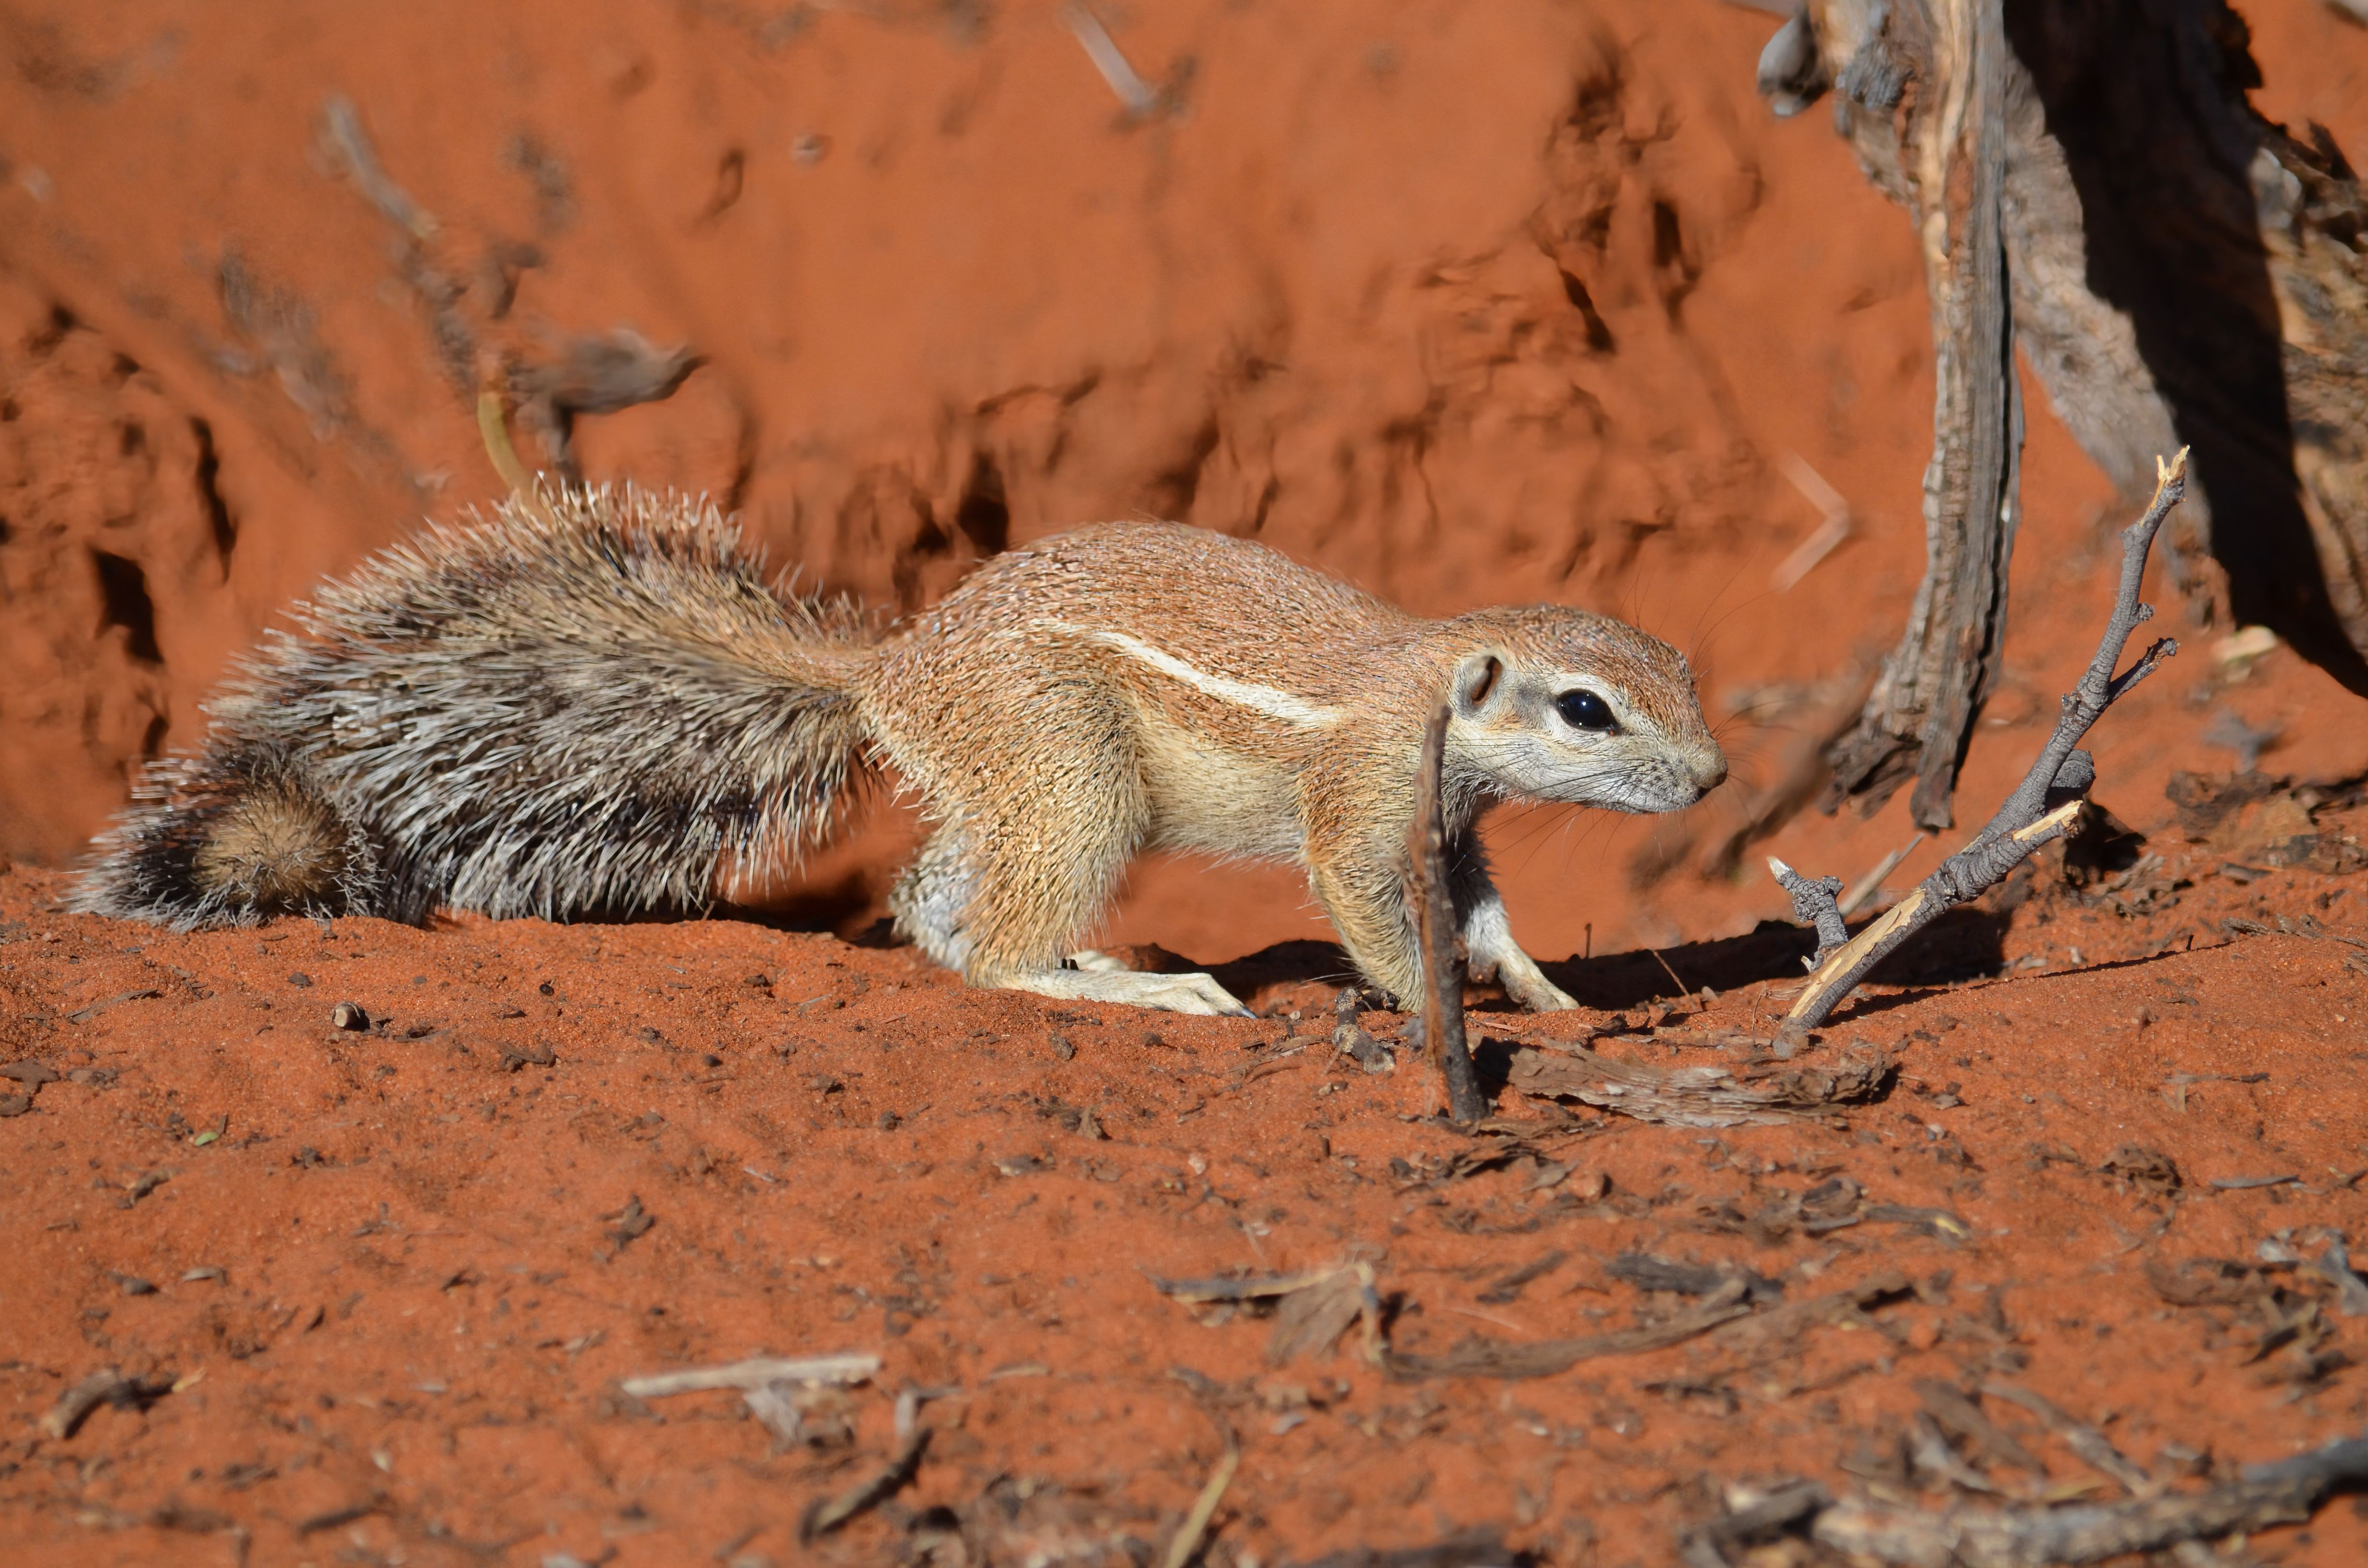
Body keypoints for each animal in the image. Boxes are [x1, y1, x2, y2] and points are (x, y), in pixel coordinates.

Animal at [71, 486, 1727, 1016]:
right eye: (1587, 709)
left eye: (1681, 669)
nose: (1711, 780)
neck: (1430, 683)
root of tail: (887, 671)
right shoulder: (1365, 796)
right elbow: (1372, 911)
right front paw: (1440, 1006)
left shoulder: (1453, 818)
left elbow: (1488, 907)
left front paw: (1545, 991)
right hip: (1073, 771)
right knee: (996, 955)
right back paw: (1138, 987)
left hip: (1019, 784)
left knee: (938, 908)